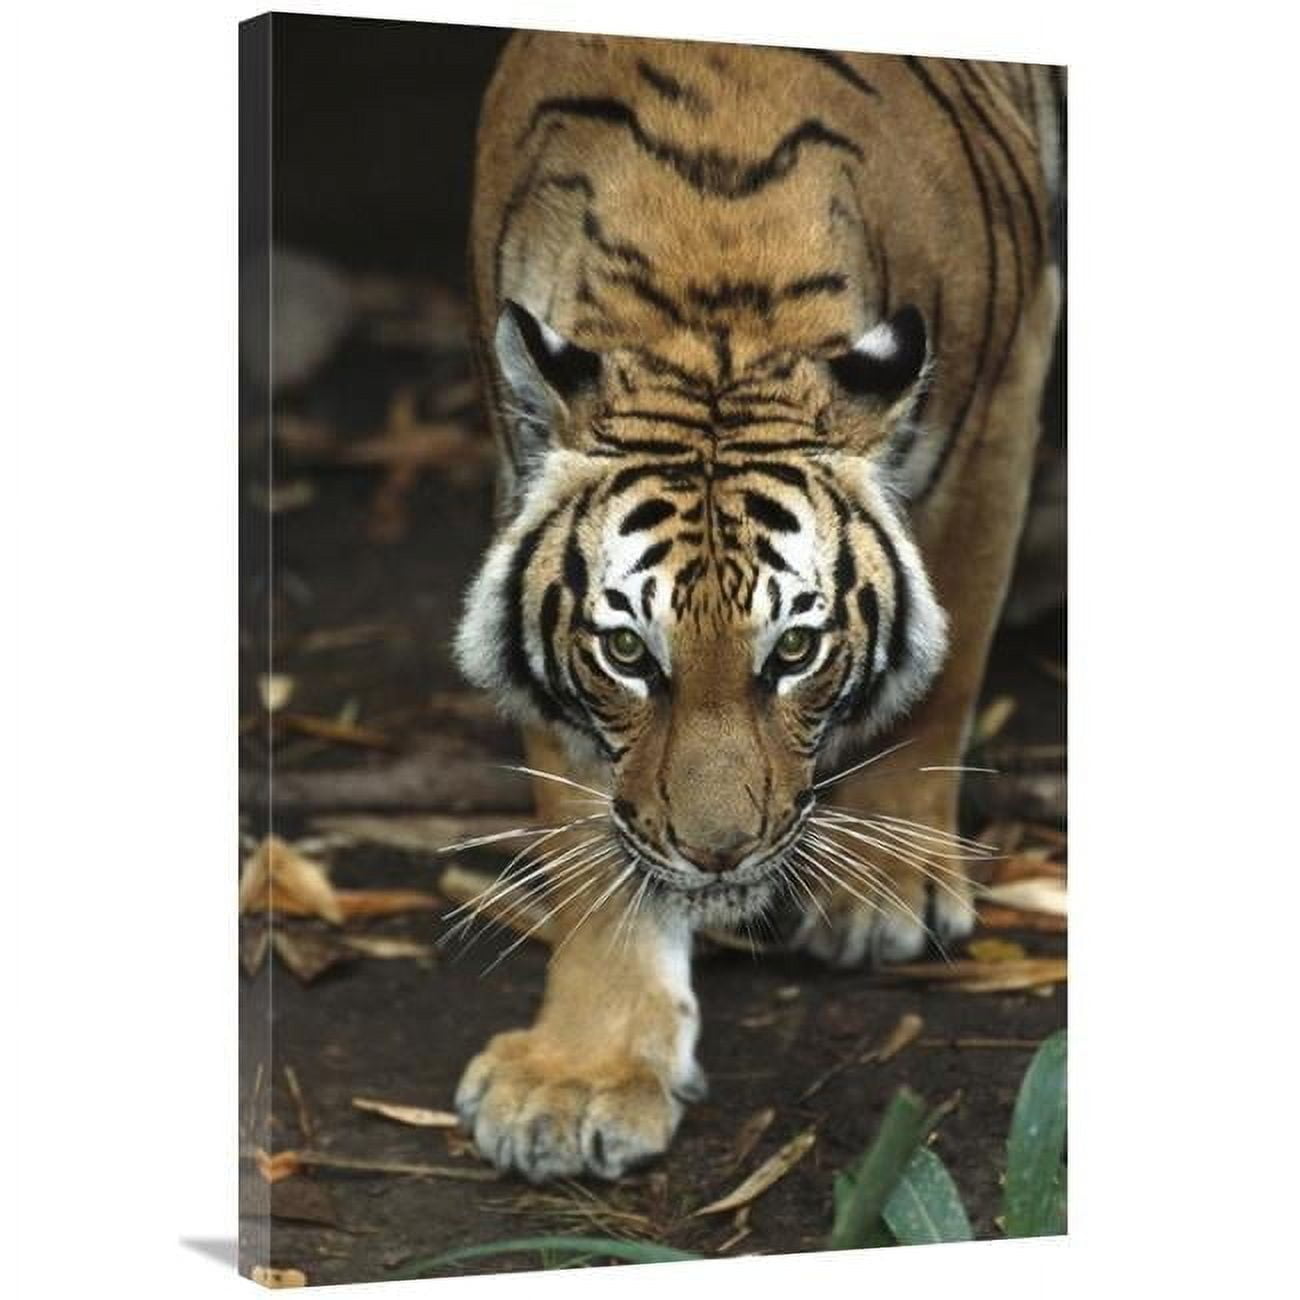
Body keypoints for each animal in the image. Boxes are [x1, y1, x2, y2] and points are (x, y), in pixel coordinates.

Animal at [452, 30, 1062, 1182]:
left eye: (794, 650)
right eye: (627, 652)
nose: (718, 854)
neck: (710, 307)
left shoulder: (1000, 399)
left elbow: (941, 666)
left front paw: (887, 888)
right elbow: (582, 822)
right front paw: (581, 1075)